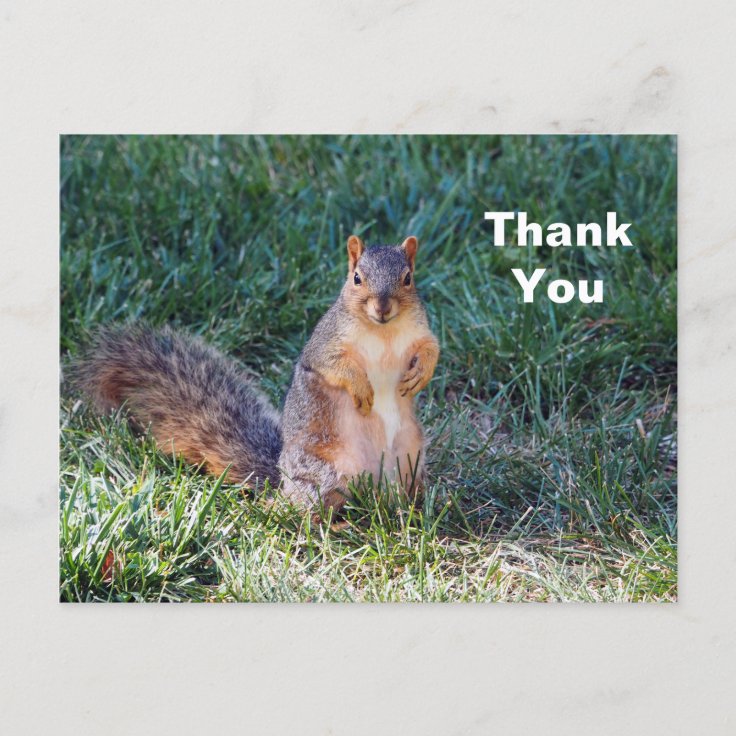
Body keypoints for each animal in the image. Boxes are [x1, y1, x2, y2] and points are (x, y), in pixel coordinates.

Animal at [76, 235, 440, 514]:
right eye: (357, 278)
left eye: (408, 278)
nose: (383, 308)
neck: (384, 332)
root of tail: (282, 482)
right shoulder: (326, 343)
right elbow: (333, 365)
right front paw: (361, 388)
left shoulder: (419, 332)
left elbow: (431, 348)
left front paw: (421, 373)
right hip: (327, 474)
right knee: (299, 512)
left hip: (410, 457)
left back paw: (412, 507)